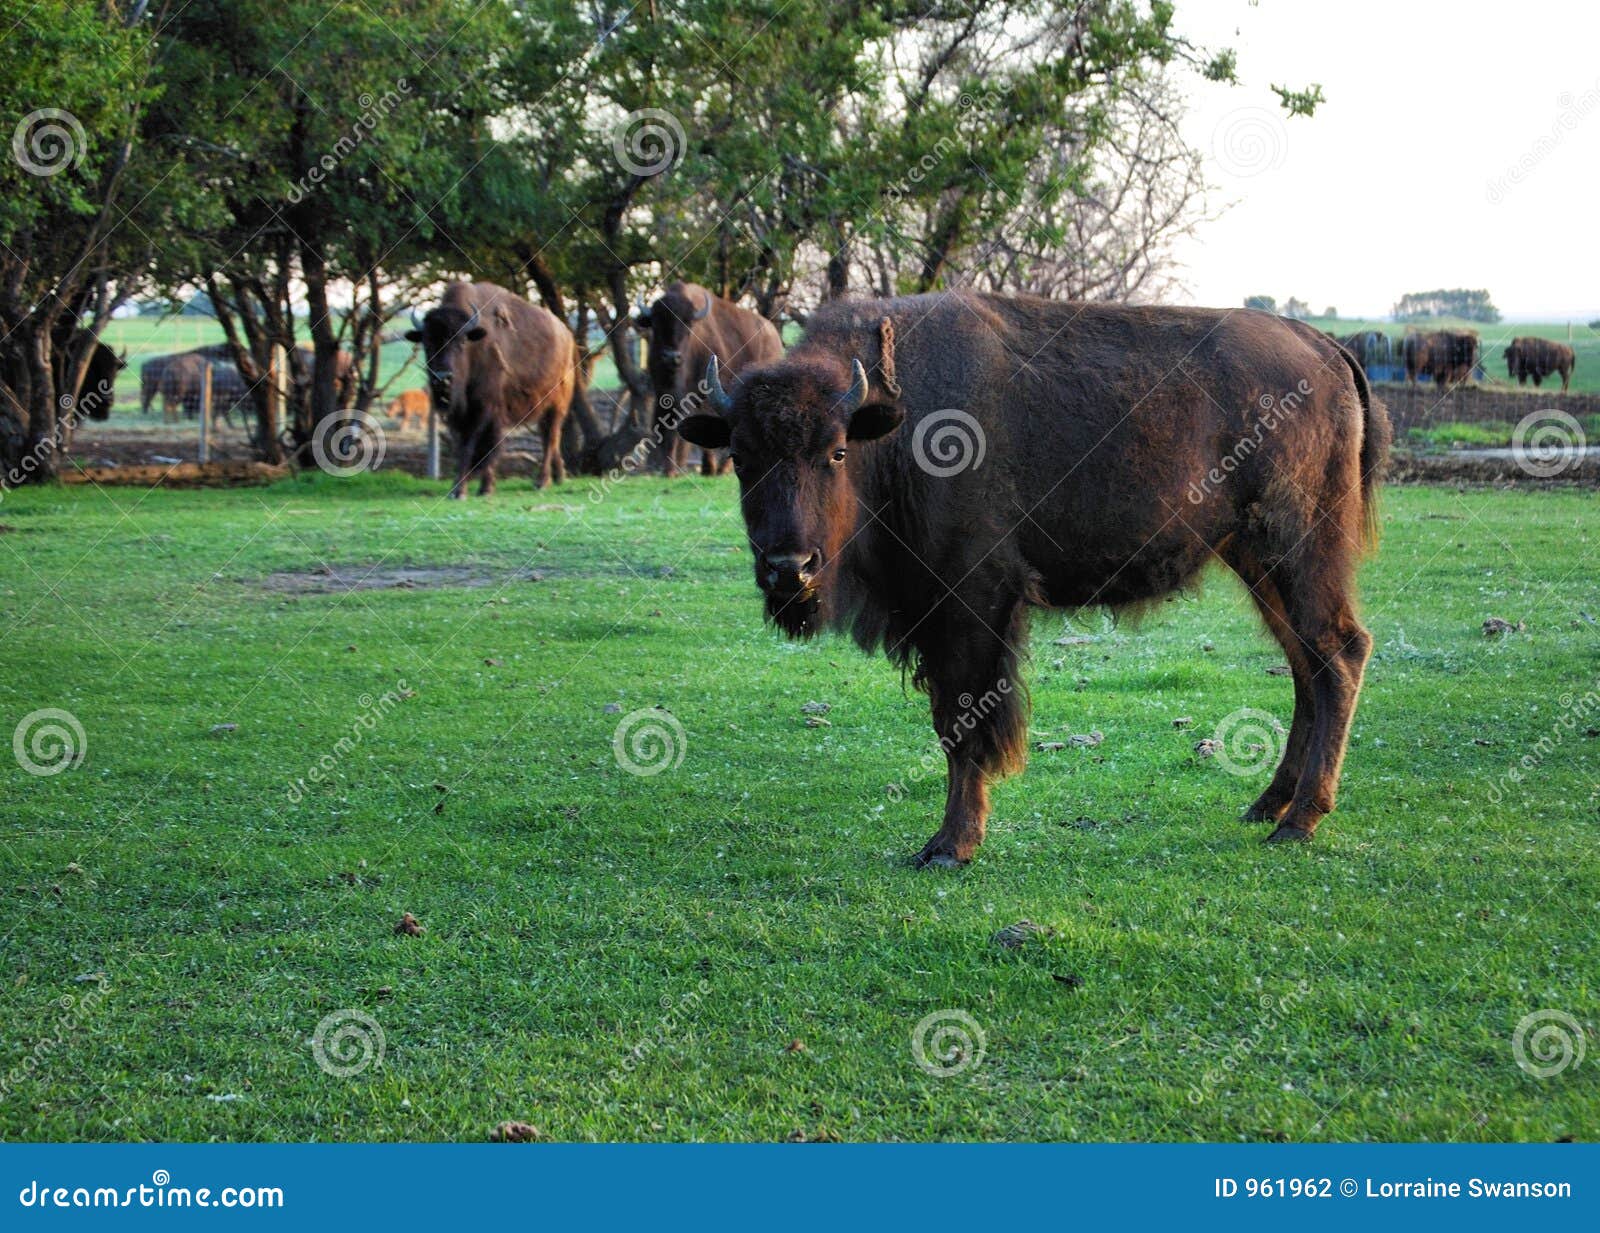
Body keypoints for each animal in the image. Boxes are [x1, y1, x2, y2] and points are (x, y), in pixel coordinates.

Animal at [405, 281, 574, 495]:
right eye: (427, 342)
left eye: (462, 341)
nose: (442, 378)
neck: (475, 346)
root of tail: (567, 335)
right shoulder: (459, 416)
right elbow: (463, 446)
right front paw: (468, 487)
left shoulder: (485, 410)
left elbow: (478, 446)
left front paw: (471, 490)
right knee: (549, 438)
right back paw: (559, 477)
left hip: (557, 404)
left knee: (551, 437)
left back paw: (542, 482)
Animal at [635, 281, 783, 476]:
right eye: (656, 322)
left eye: (688, 323)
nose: (671, 357)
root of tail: (773, 335)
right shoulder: (664, 395)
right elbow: (666, 428)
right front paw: (669, 470)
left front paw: (706, 468)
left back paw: (721, 469)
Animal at [676, 293, 1390, 867]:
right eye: (740, 456)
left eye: (837, 452)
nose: (787, 568)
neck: (894, 420)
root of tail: (1325, 348)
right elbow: (952, 721)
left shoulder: (974, 602)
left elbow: (964, 725)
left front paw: (950, 846)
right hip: (1256, 561)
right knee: (1306, 663)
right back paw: (1268, 805)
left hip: (1298, 549)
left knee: (1338, 653)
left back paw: (1298, 821)